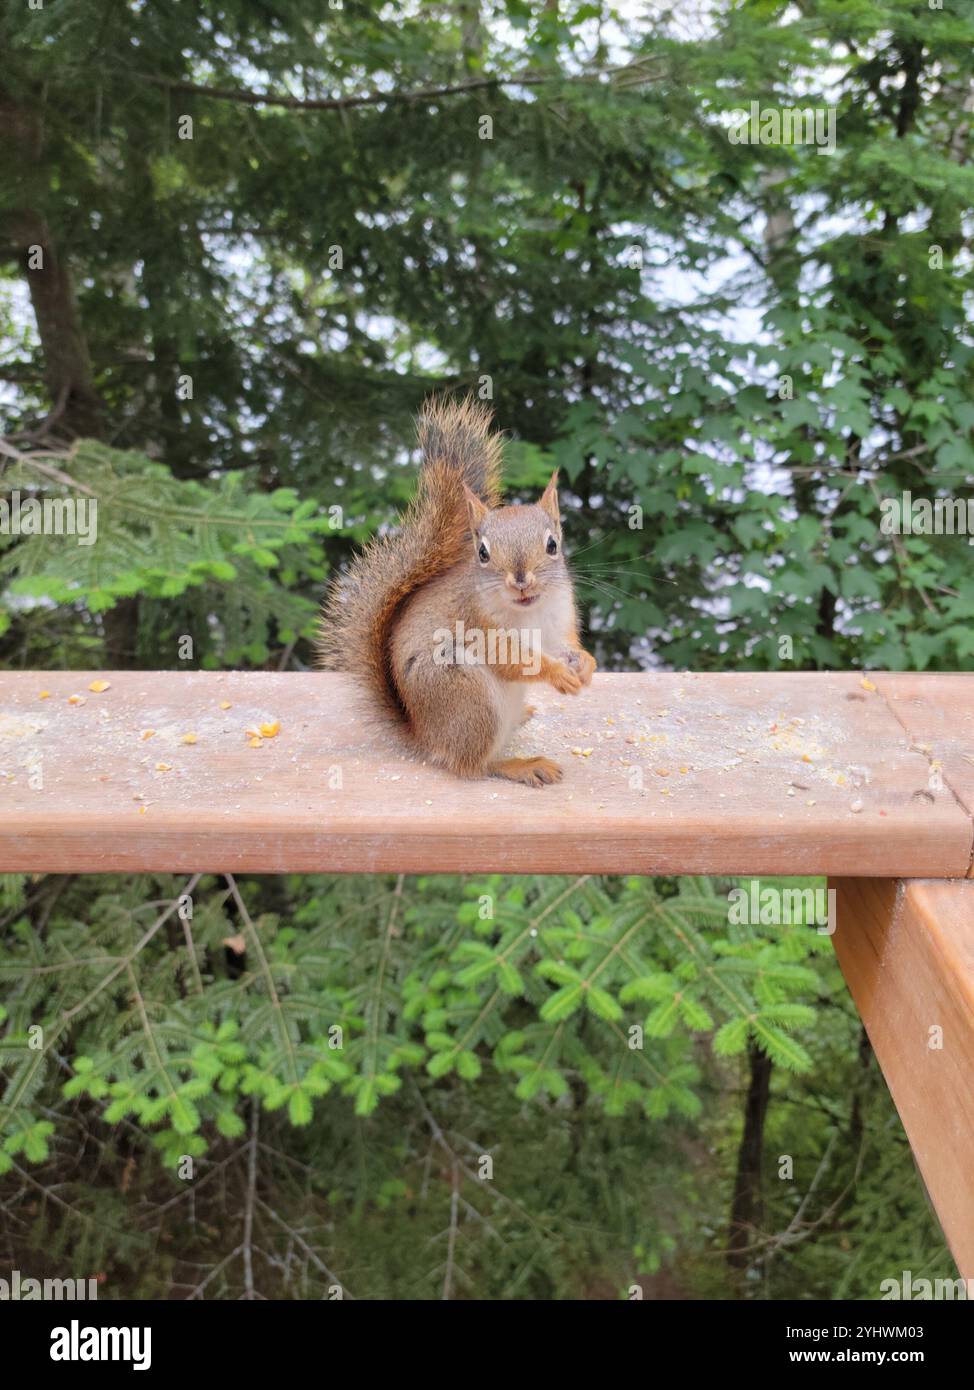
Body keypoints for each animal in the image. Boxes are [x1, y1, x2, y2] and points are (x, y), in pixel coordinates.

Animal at [318, 396, 596, 787]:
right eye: (483, 553)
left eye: (553, 544)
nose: (521, 580)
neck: (529, 610)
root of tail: (423, 734)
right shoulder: (479, 624)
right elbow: (512, 659)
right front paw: (557, 674)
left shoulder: (557, 620)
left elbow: (565, 645)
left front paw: (585, 663)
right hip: (468, 696)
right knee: (471, 765)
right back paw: (521, 764)